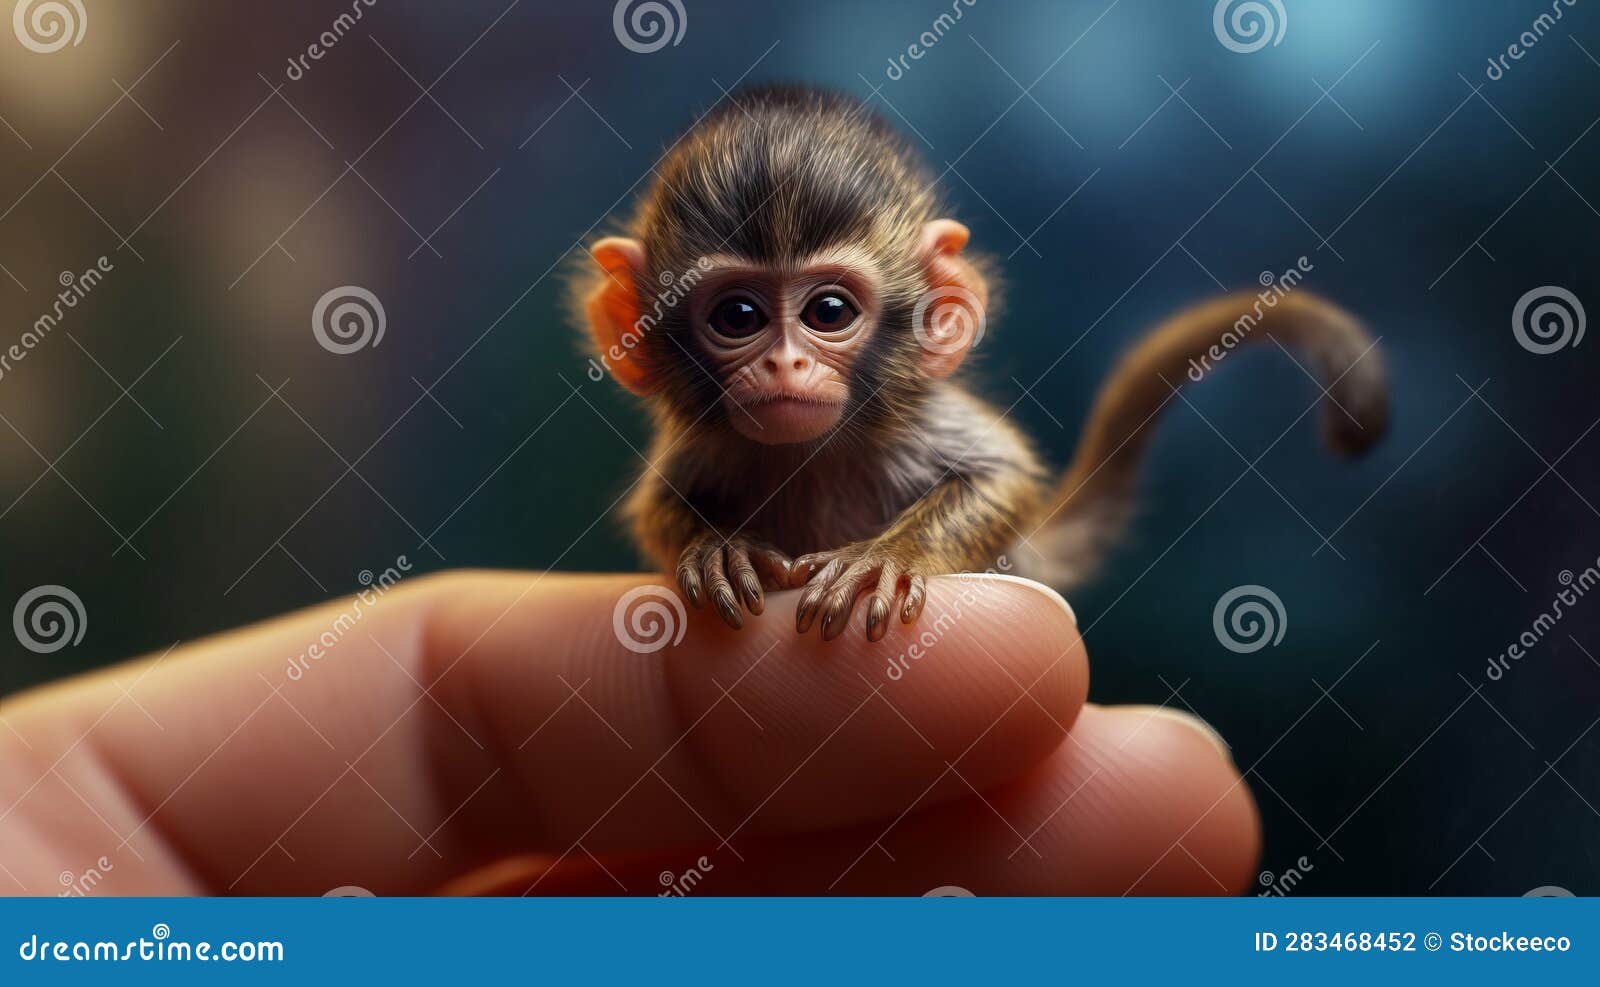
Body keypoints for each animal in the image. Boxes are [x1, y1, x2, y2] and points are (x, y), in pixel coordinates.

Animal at [575, 84, 1386, 643]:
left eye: (828, 312)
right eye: (737, 317)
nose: (783, 365)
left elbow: (1005, 477)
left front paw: (888, 556)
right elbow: (656, 509)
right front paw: (716, 551)